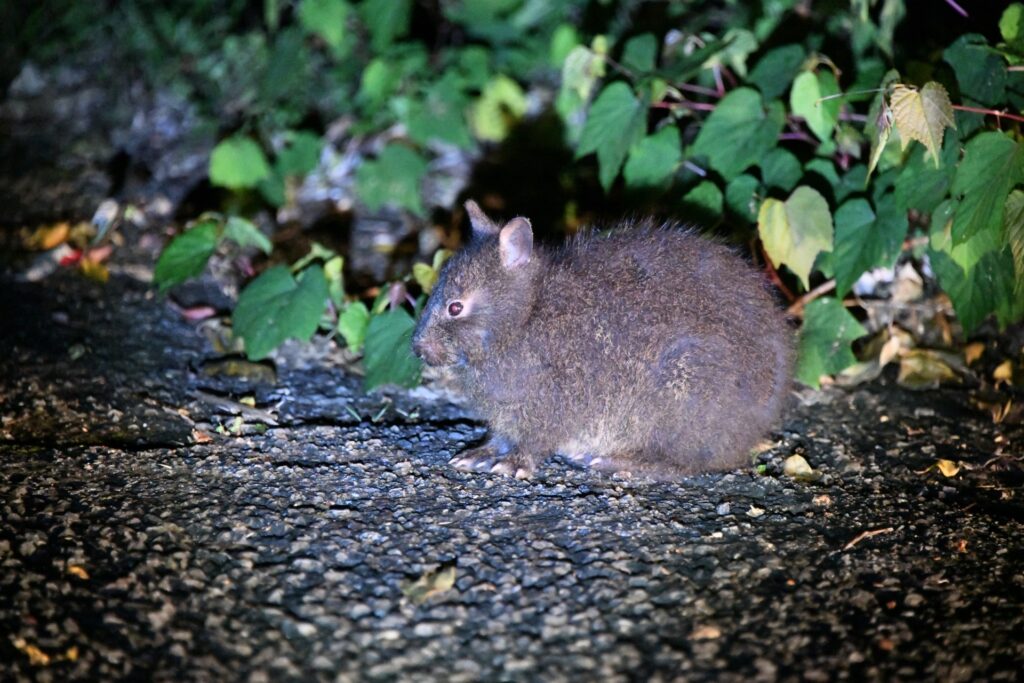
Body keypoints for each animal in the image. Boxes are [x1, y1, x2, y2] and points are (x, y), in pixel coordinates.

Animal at [411, 200, 793, 480]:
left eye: (456, 307)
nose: (418, 347)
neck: (524, 317)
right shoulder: (508, 415)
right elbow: (501, 437)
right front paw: (478, 455)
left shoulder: (549, 404)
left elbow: (534, 442)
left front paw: (513, 464)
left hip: (682, 390)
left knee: (686, 464)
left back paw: (620, 462)